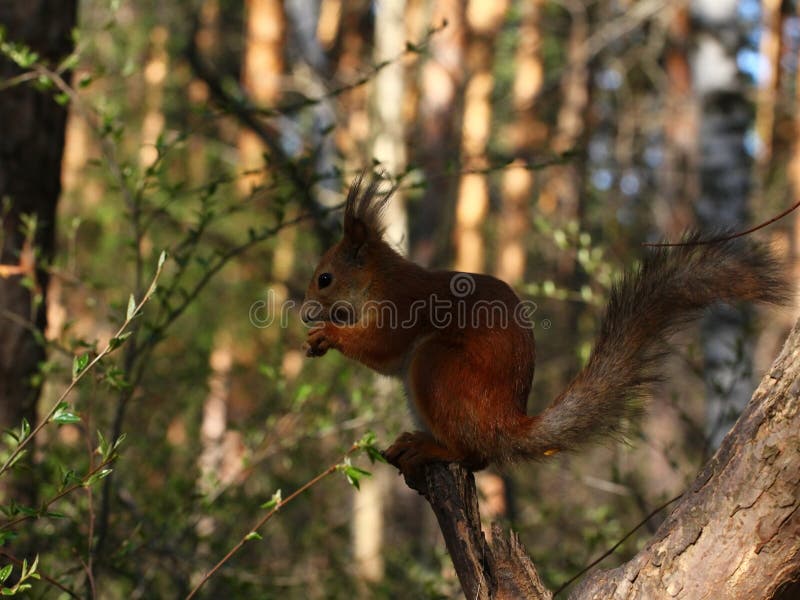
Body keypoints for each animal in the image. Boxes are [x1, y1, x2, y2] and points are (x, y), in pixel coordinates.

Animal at [301, 173, 790, 474]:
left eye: (324, 278)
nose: (304, 310)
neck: (377, 279)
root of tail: (505, 424)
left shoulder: (404, 306)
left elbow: (382, 348)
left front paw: (328, 335)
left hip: (436, 368)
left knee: (471, 453)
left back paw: (431, 447)